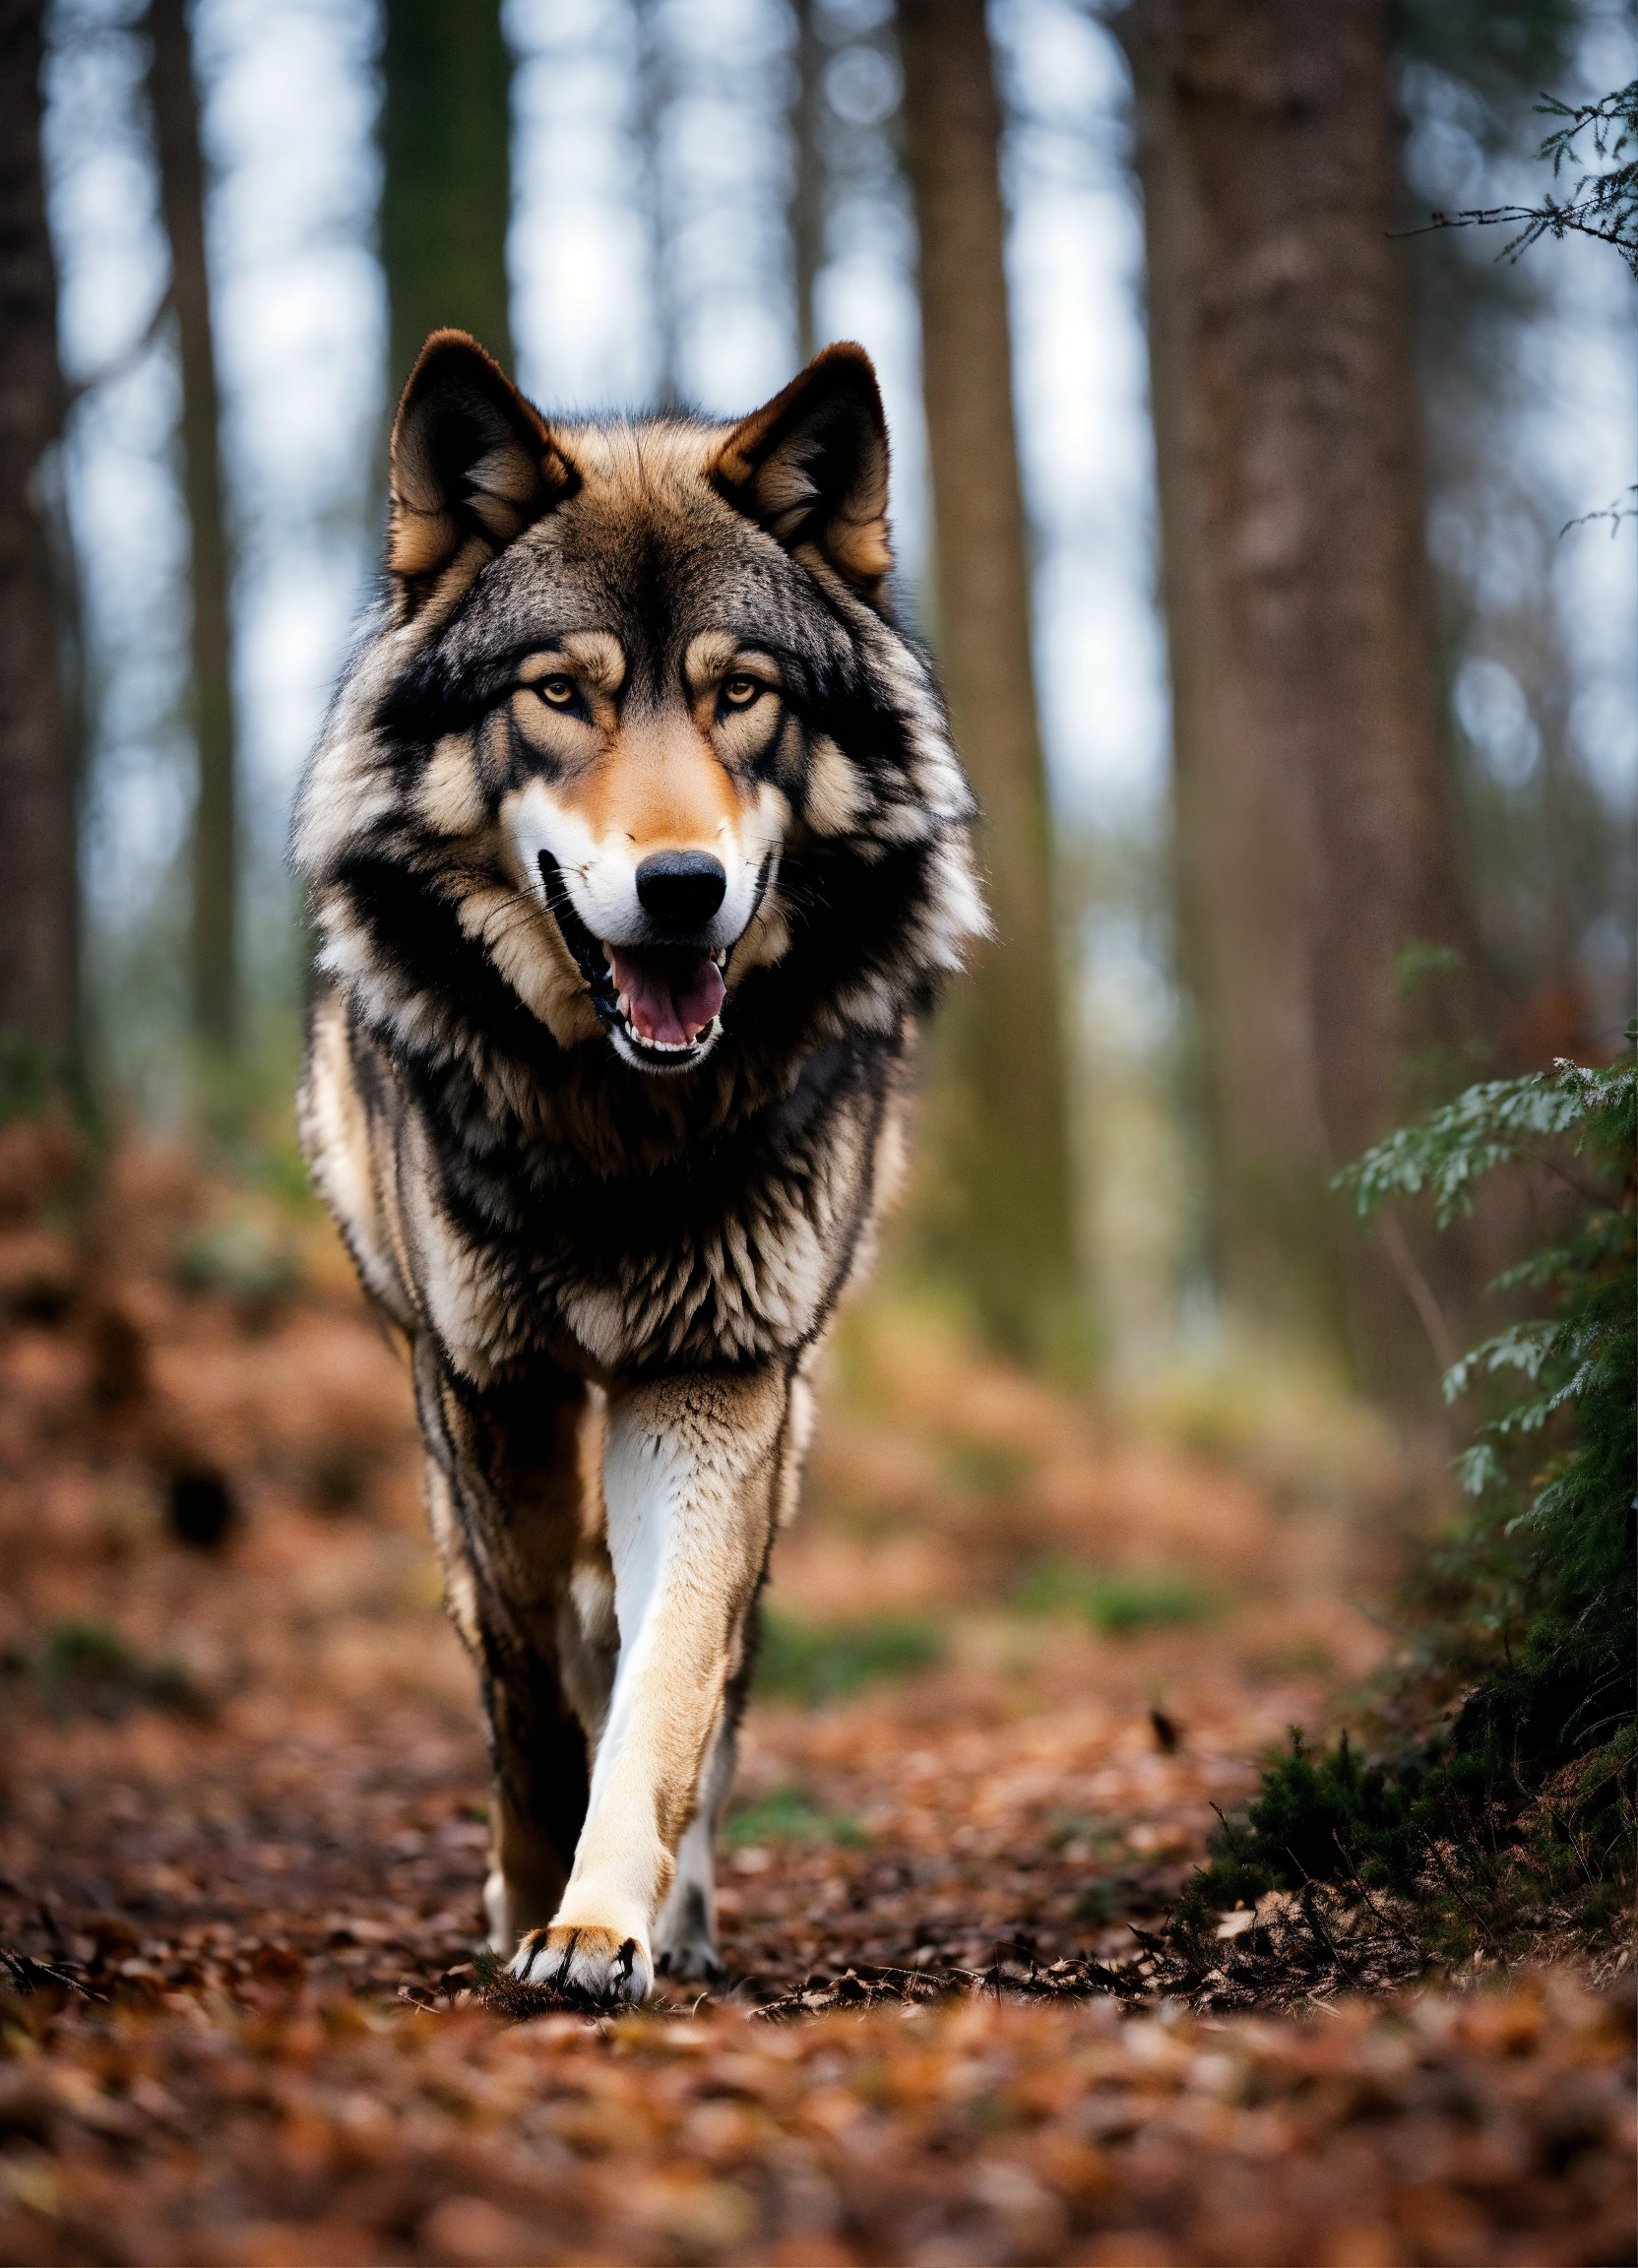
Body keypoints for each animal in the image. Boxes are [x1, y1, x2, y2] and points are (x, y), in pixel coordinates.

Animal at [293, 331, 985, 2003]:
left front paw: (606, 1921)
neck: (619, 1123)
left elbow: (666, 1686)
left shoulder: (715, 1378)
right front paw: (529, 1898)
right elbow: (532, 1683)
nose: (683, 889)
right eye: (562, 693)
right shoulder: (498, 1387)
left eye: (740, 694)